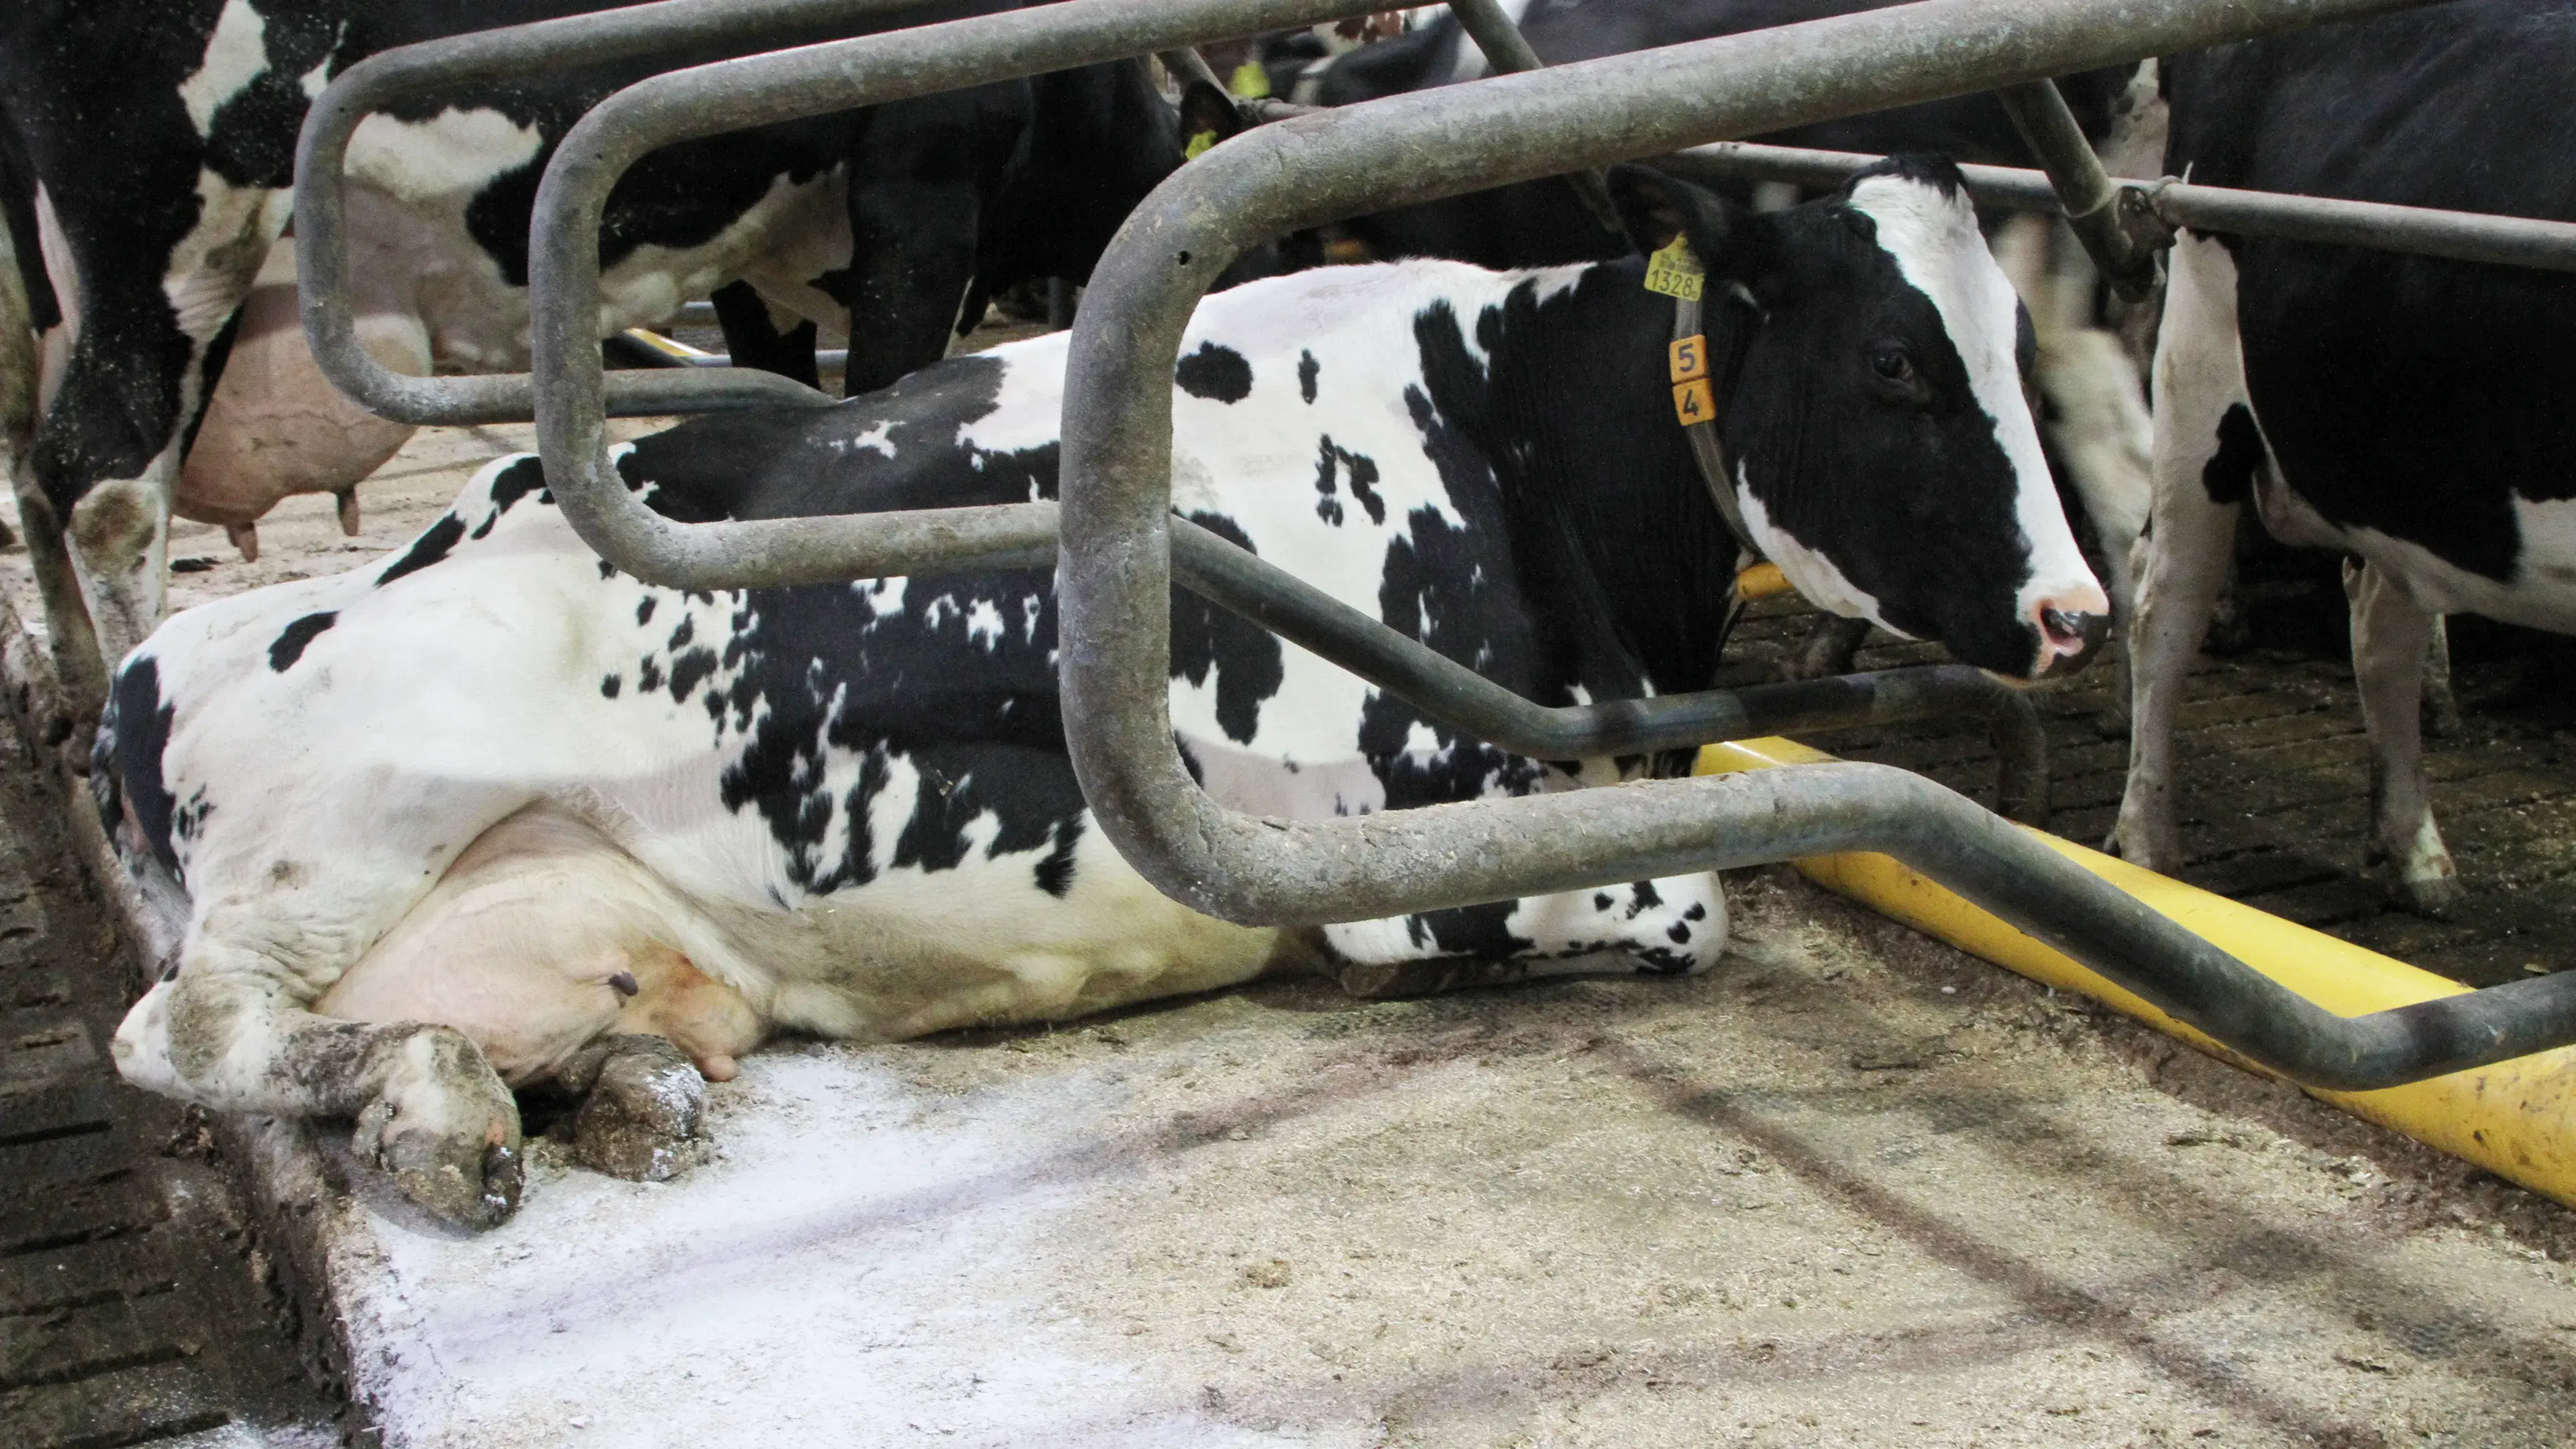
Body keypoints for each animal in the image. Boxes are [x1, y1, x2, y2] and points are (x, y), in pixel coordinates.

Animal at [0, 0, 1244, 717]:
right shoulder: (922, 178)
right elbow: (885, 388)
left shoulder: (766, 255)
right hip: (169, 222)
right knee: (104, 472)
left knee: (28, 456)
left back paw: (67, 699)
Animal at [97, 159, 2105, 1228]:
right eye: (1897, 365)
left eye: (2024, 349)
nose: (2075, 611)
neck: (1503, 443)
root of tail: (158, 657)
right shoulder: (1406, 852)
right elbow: (1687, 907)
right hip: (354, 807)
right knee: (187, 1032)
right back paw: (439, 1117)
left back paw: (589, 1091)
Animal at [2113, 0, 2576, 916]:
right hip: (2200, 372)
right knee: (2163, 603)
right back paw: (2146, 849)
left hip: (2398, 469)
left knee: (2381, 623)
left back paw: (2415, 850)